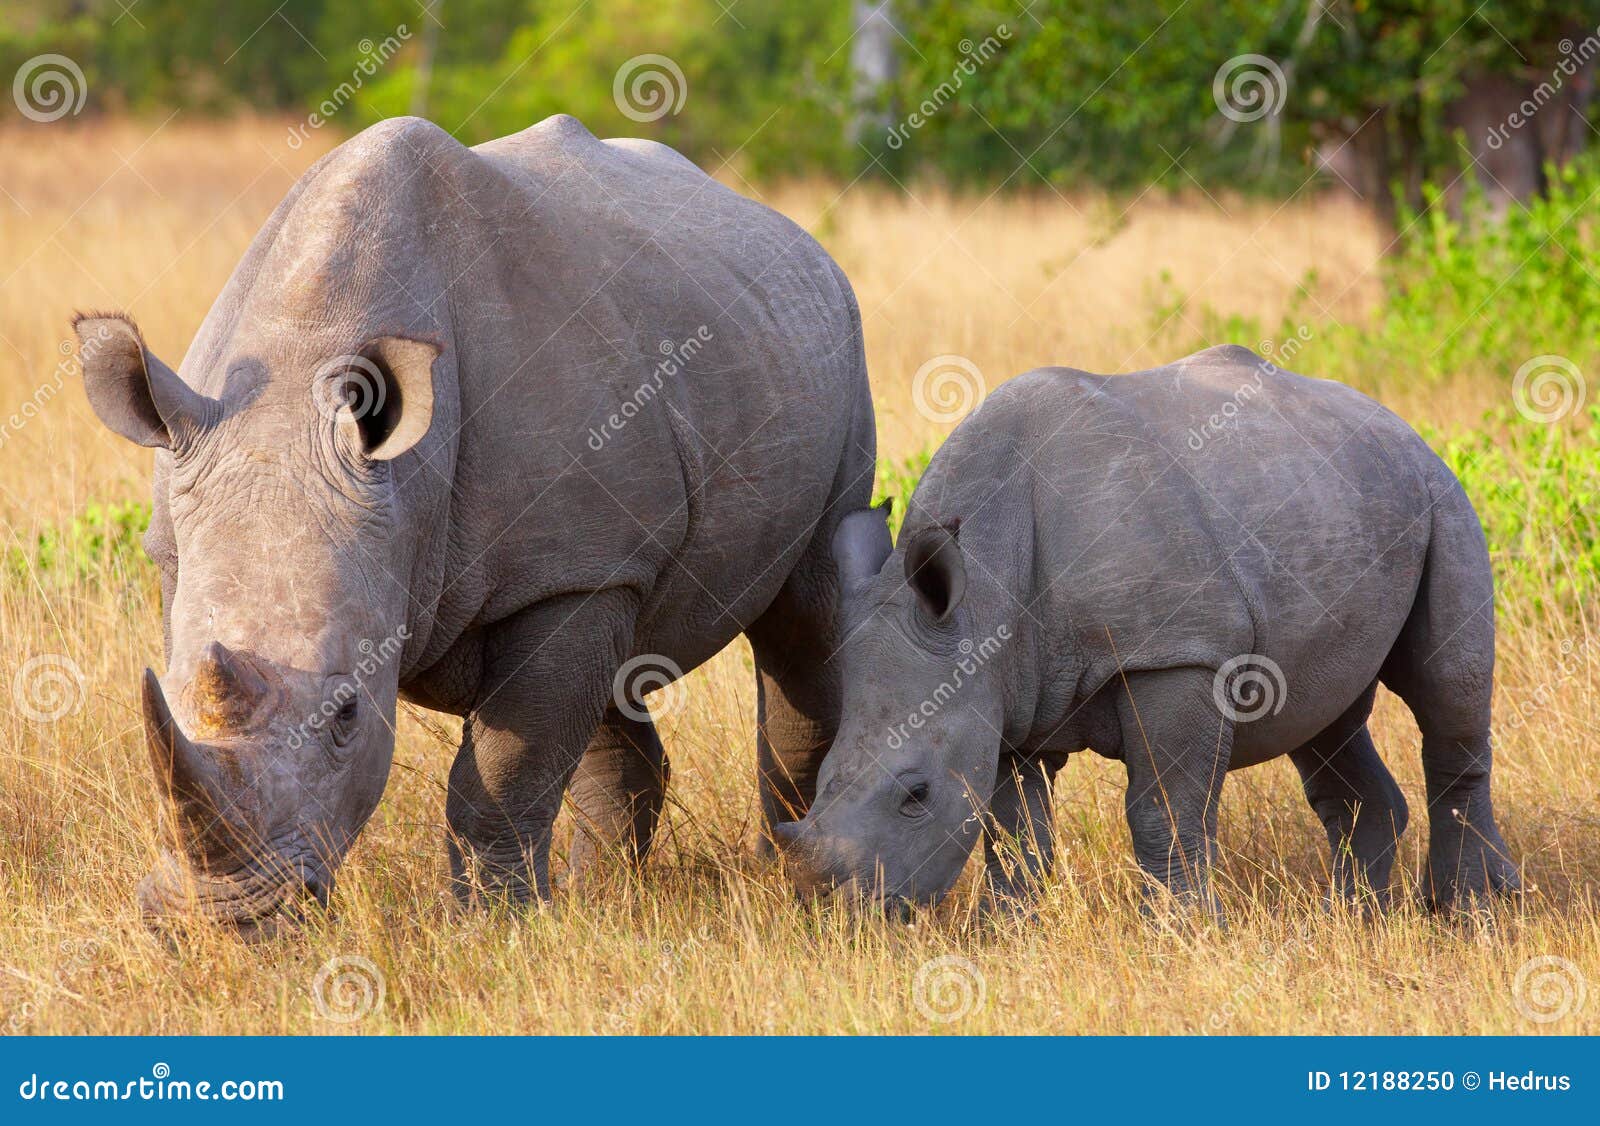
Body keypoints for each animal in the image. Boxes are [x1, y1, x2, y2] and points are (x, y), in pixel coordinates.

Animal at [74, 115, 874, 934]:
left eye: (347, 715)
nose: (223, 923)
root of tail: (795, 237)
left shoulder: (568, 573)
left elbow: (503, 770)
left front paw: (494, 927)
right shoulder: (179, 550)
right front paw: (536, 914)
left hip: (835, 355)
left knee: (802, 618)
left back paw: (794, 879)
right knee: (613, 681)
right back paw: (601, 894)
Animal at [774, 345, 1521, 917]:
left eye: (916, 795)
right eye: (824, 779)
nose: (837, 916)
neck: (985, 594)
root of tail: (1398, 423)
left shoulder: (1178, 654)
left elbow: (1164, 805)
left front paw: (1181, 930)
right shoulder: (1006, 686)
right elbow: (1013, 825)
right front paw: (1007, 929)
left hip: (1441, 497)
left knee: (1444, 692)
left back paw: (1473, 913)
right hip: (1342, 497)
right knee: (1324, 716)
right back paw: (1357, 918)